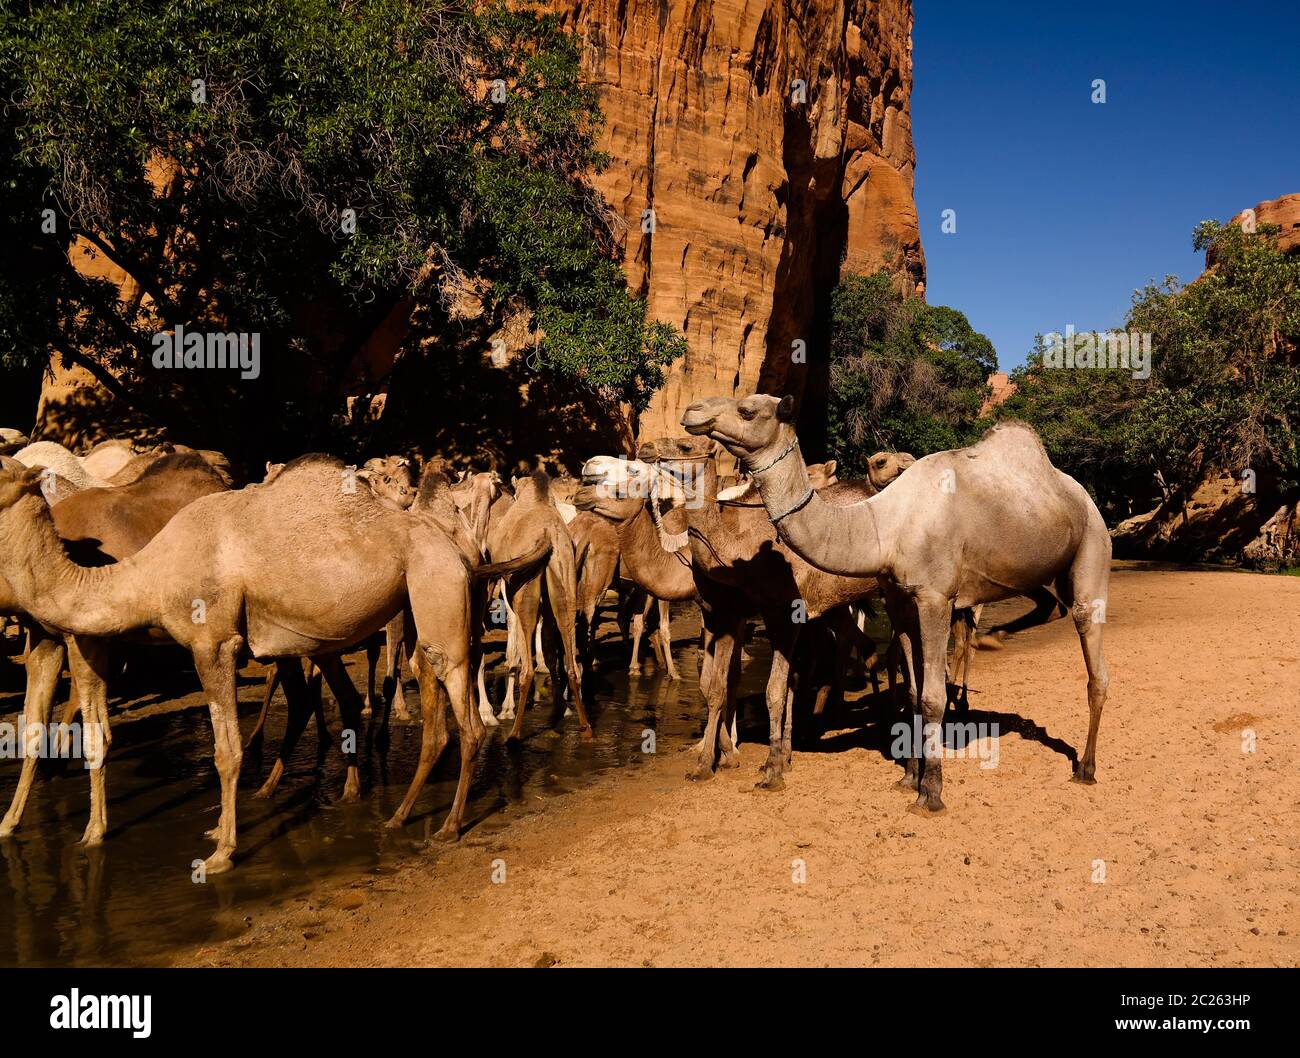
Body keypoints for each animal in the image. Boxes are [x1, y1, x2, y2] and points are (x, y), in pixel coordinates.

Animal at [0, 455, 505, 872]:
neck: (151, 574)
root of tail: (461, 548)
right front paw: (216, 832)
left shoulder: (213, 643)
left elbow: (227, 752)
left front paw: (222, 853)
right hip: (413, 603)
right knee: (427, 705)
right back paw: (398, 816)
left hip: (437, 584)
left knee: (464, 713)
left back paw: (449, 826)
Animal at [684, 394, 1111, 812]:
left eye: (747, 409)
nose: (692, 410)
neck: (886, 526)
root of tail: (1081, 496)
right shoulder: (899, 599)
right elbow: (913, 693)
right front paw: (909, 778)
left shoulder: (935, 597)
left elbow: (933, 696)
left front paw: (931, 794)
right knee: (1050, 607)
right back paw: (996, 638)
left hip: (1093, 543)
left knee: (1091, 654)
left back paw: (1087, 767)